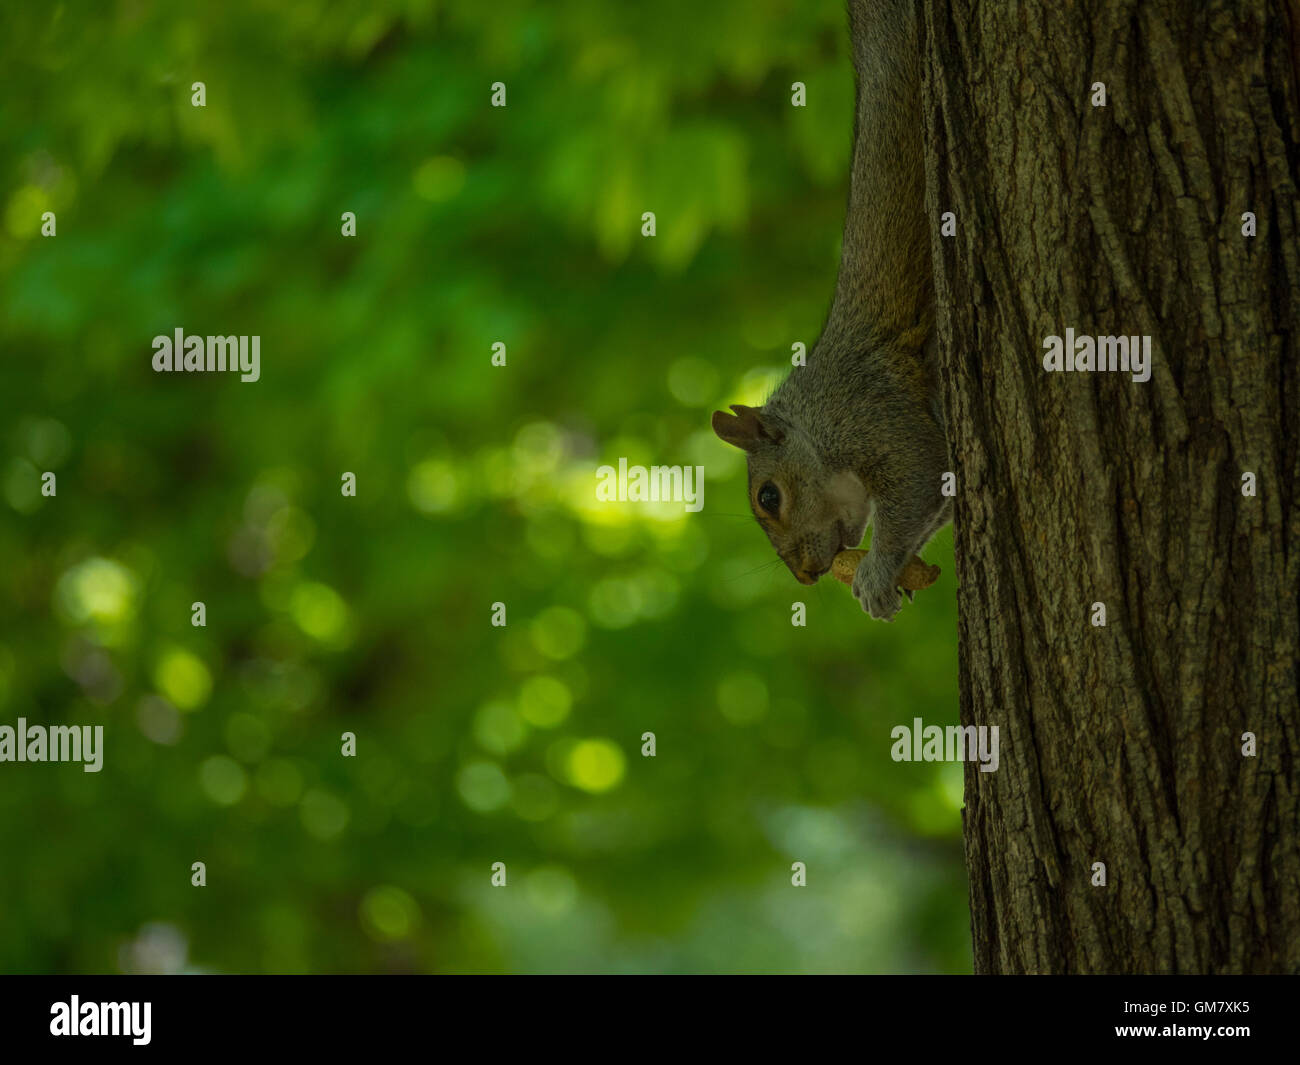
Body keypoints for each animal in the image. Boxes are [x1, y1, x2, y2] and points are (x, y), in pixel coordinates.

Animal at [712, 0, 950, 621]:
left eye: (769, 496)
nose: (805, 576)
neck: (816, 419)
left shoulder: (877, 415)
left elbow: (920, 479)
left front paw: (875, 574)